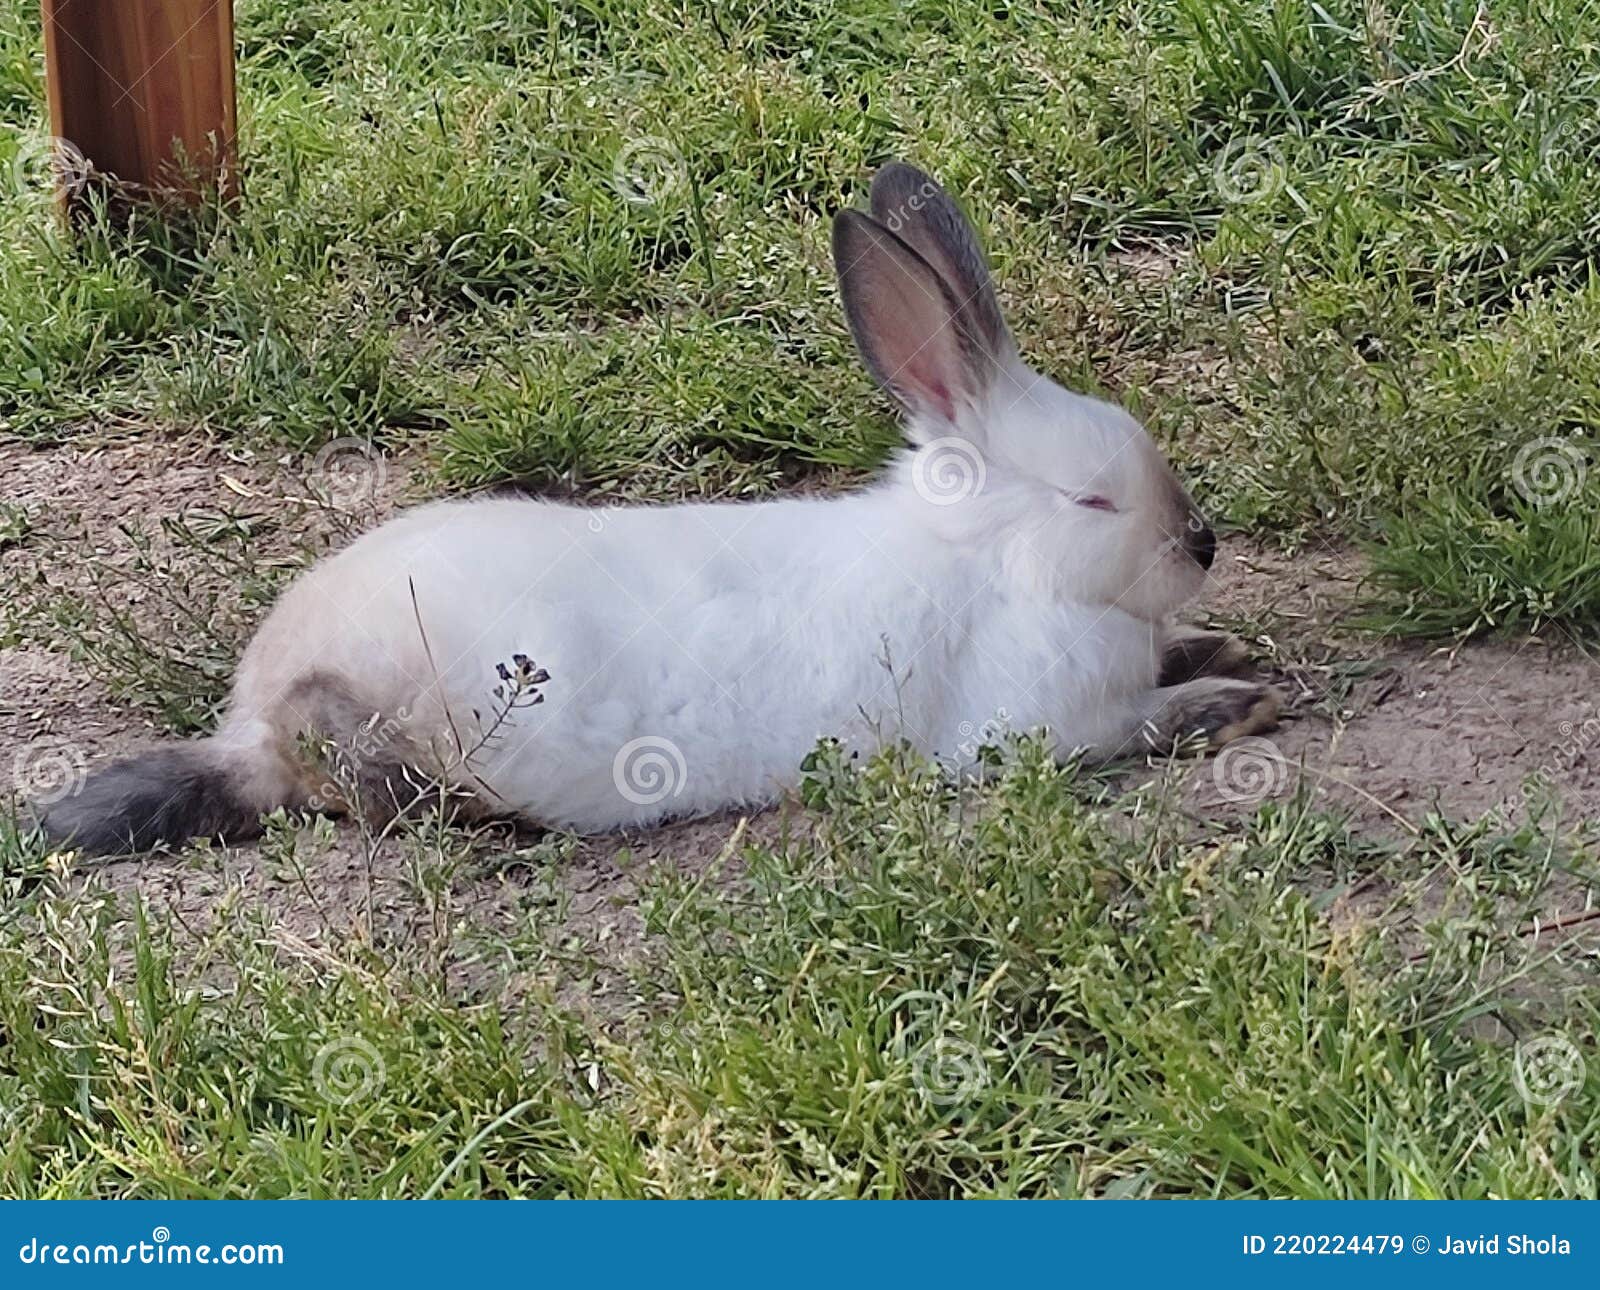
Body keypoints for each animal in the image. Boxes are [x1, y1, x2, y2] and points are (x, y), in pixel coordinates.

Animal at [32, 162, 1279, 856]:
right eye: (1091, 497)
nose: (1201, 546)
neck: (992, 563)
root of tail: (243, 727)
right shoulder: (1033, 731)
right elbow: (1135, 728)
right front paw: (1234, 701)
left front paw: (1217, 649)